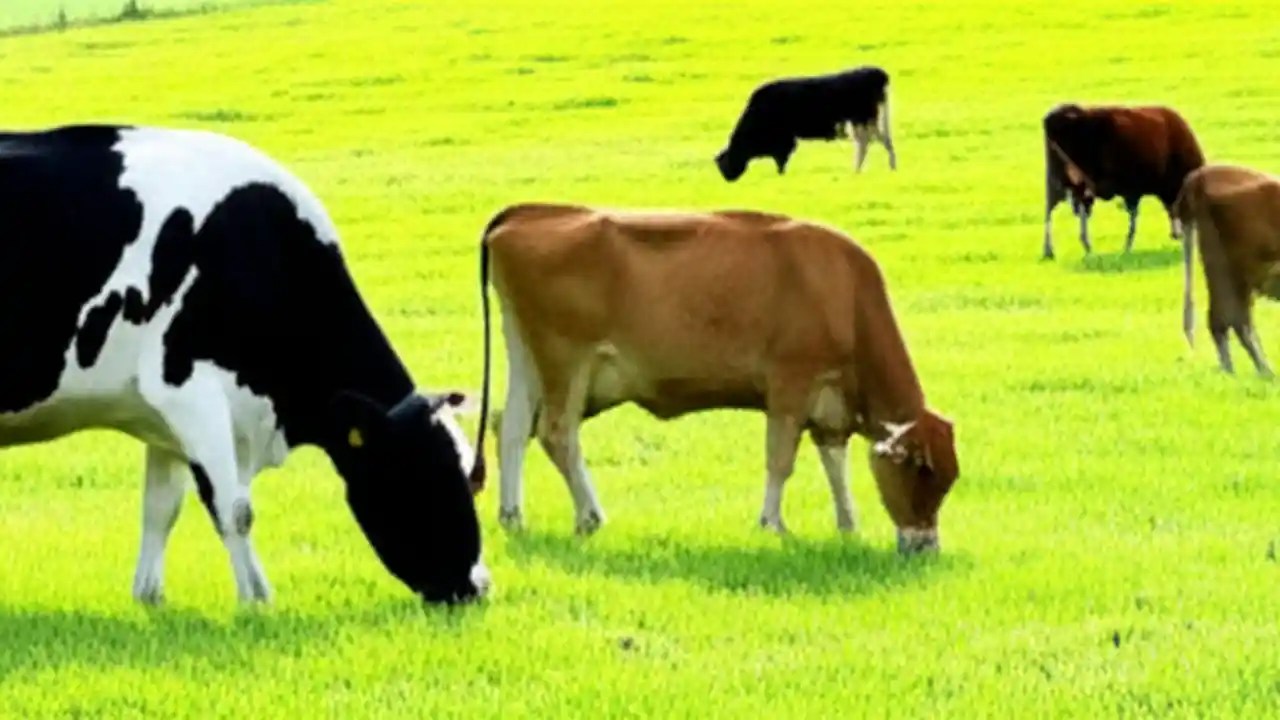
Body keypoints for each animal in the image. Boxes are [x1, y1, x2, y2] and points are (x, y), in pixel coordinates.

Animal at [0, 124, 491, 606]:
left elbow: (161, 509)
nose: (479, 588)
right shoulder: (188, 390)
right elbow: (234, 509)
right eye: (429, 475)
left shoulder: (157, 412)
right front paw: (256, 600)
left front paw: (150, 597)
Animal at [477, 202, 960, 555]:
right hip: (566, 361)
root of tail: (529, 213)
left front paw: (848, 524)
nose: (925, 547)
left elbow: (834, 464)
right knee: (557, 433)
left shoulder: (829, 406)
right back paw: (591, 516)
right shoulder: (790, 385)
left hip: (527, 357)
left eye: (949, 477)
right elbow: (780, 459)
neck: (842, 291)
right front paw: (773, 524)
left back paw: (513, 515)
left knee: (511, 427)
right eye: (920, 468)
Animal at [714, 66, 895, 183]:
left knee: (871, 142)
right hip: (863, 121)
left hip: (865, 119)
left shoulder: (784, 141)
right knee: (875, 140)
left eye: (724, 164)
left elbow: (781, 160)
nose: (728, 179)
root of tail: (877, 72)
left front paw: (781, 175)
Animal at [1041, 103, 1205, 260]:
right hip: (1079, 180)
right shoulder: (1133, 191)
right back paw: (1087, 246)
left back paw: (1049, 251)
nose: (1179, 235)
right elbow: (1134, 217)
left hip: (1056, 180)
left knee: (1050, 209)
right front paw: (1127, 246)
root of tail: (1055, 117)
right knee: (1081, 208)